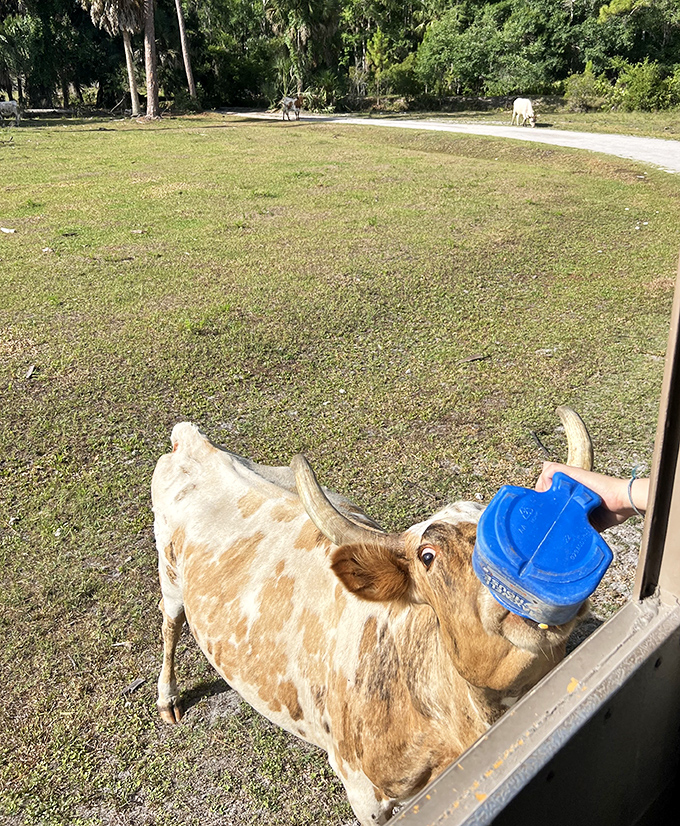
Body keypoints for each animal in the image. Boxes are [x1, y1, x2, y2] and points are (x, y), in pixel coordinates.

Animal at [152, 407, 592, 825]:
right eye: (427, 556)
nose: (521, 593)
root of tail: (193, 441)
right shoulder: (363, 792)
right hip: (169, 577)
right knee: (171, 624)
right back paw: (167, 699)